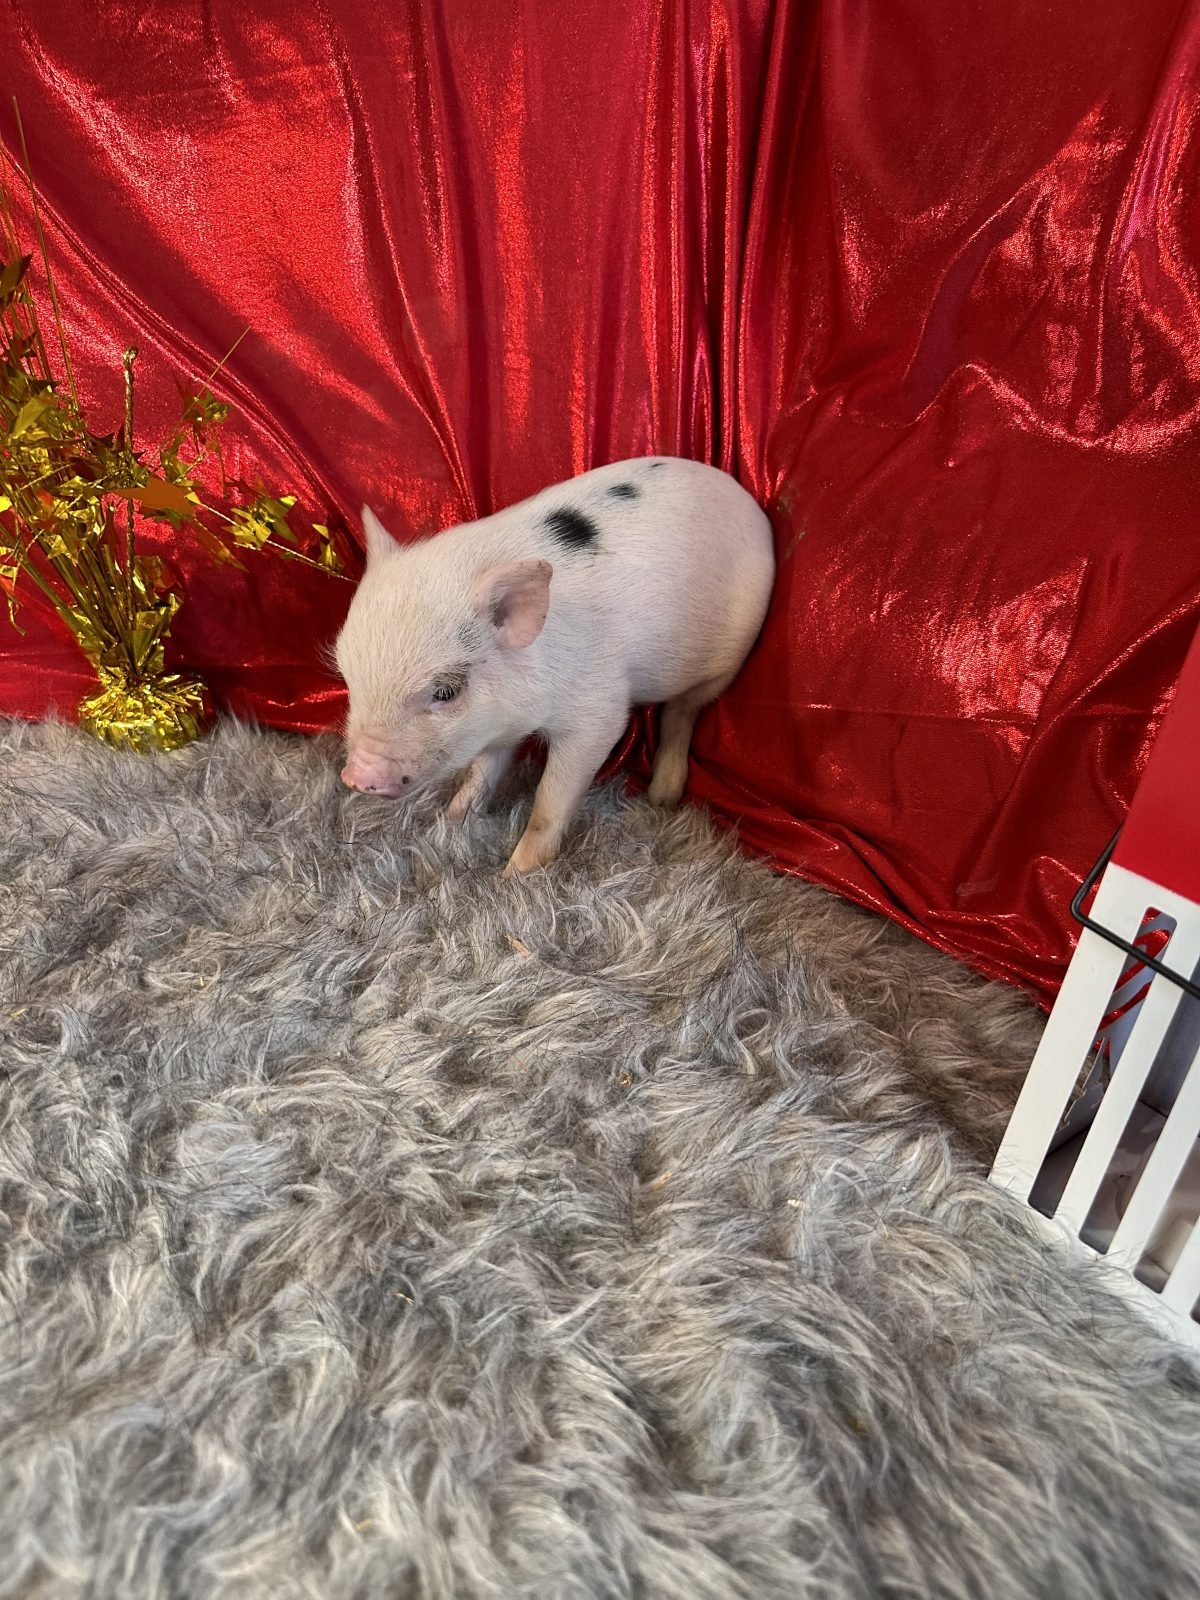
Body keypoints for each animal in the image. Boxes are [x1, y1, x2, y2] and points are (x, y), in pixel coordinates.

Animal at [335, 456, 774, 876]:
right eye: (348, 677)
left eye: (446, 692)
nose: (355, 776)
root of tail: (746, 501)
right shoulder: (497, 724)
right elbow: (483, 770)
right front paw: (449, 823)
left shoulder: (598, 712)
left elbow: (551, 796)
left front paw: (513, 876)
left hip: (729, 659)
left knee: (682, 712)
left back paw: (662, 797)